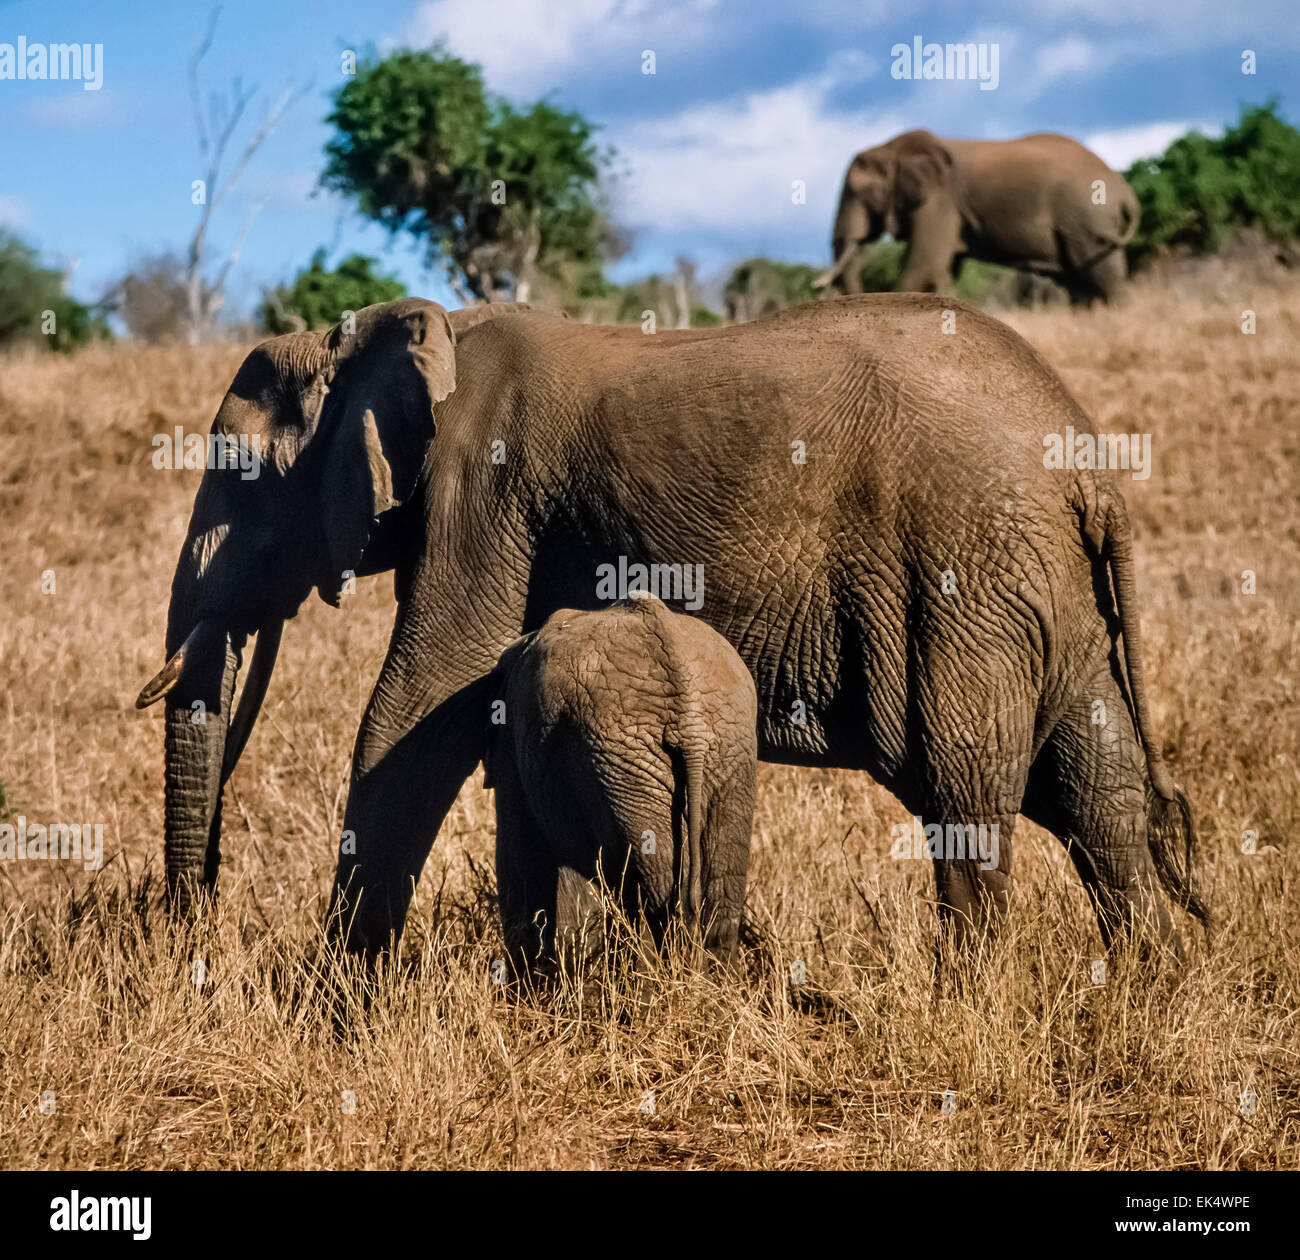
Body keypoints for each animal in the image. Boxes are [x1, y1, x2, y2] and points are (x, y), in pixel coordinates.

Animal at [483, 593, 758, 973]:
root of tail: (687, 708)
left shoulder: (512, 749)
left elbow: (524, 864)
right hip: (720, 746)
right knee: (718, 888)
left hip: (624, 758)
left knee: (650, 894)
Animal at [817, 130, 1140, 305]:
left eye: (860, 192)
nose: (818, 287)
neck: (891, 147)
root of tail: (1124, 187)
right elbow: (942, 272)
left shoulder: (939, 200)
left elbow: (924, 265)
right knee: (1080, 285)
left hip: (1089, 216)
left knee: (1103, 279)